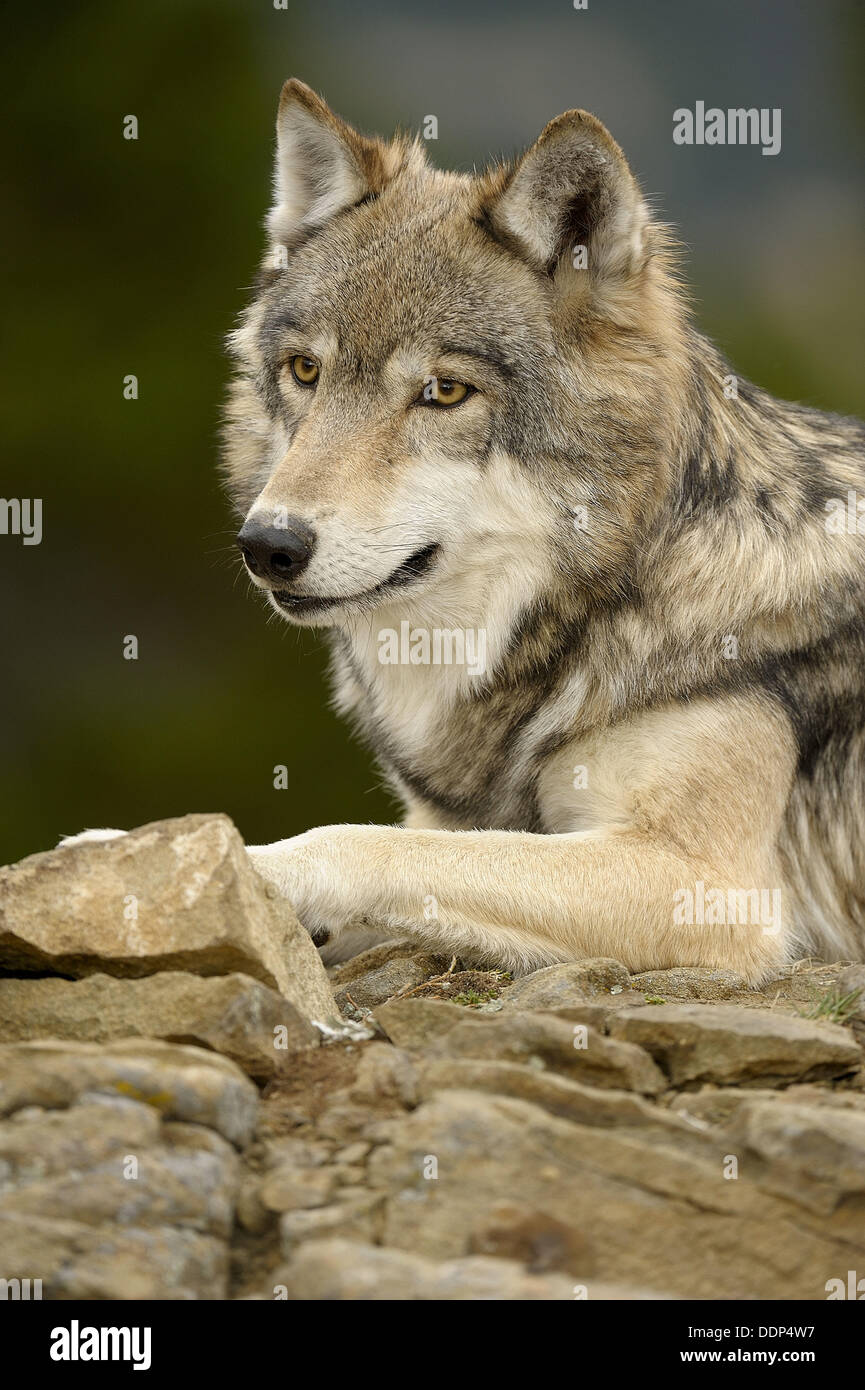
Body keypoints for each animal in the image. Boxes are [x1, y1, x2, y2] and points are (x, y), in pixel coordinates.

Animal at [72, 81, 865, 984]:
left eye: (444, 391)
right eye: (305, 371)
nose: (270, 545)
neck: (608, 598)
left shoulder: (706, 883)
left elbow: (359, 844)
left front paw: (128, 869)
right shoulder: (459, 820)